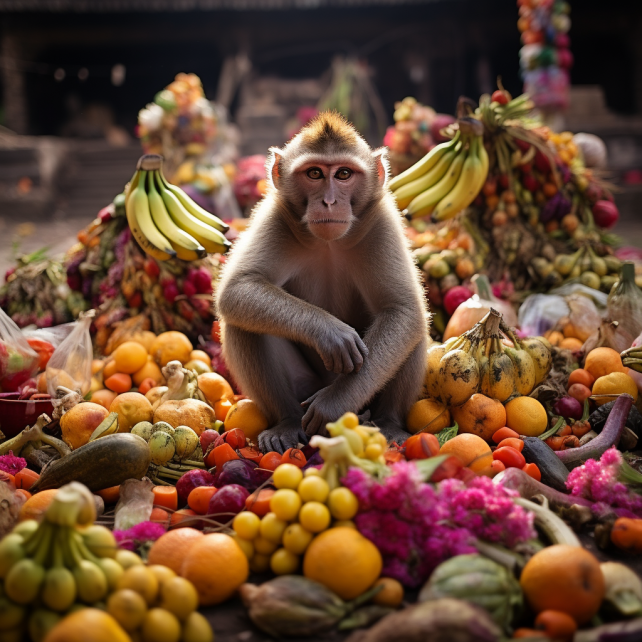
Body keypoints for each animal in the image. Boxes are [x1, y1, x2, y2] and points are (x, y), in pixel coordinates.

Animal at [215, 111, 429, 454]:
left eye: (343, 174)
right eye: (314, 173)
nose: (329, 201)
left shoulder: (381, 222)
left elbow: (401, 309)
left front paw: (332, 404)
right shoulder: (276, 217)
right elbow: (239, 288)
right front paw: (329, 332)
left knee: (411, 326)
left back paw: (388, 423)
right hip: (306, 386)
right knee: (243, 322)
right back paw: (287, 423)